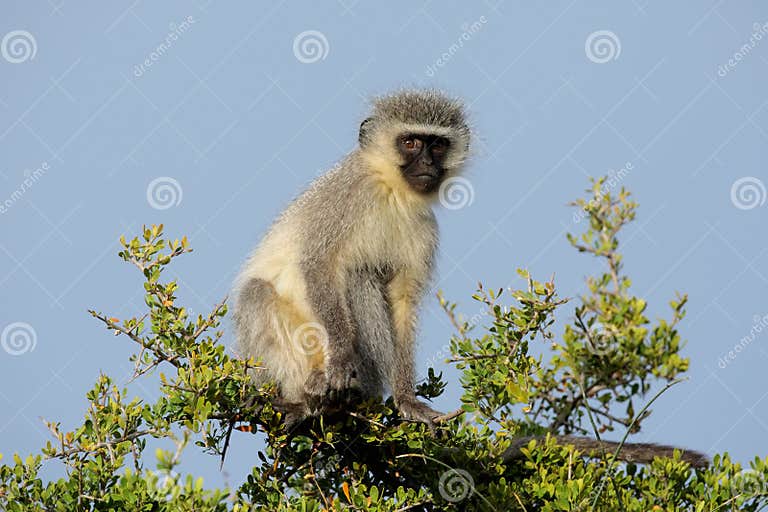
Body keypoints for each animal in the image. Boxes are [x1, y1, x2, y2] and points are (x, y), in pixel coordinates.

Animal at [232, 89, 471, 427]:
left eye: (437, 145)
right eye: (410, 142)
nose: (426, 162)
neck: (392, 192)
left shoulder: (426, 231)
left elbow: (402, 301)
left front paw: (407, 400)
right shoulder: (343, 198)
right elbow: (317, 265)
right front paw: (343, 360)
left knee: (362, 275)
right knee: (257, 293)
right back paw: (305, 401)